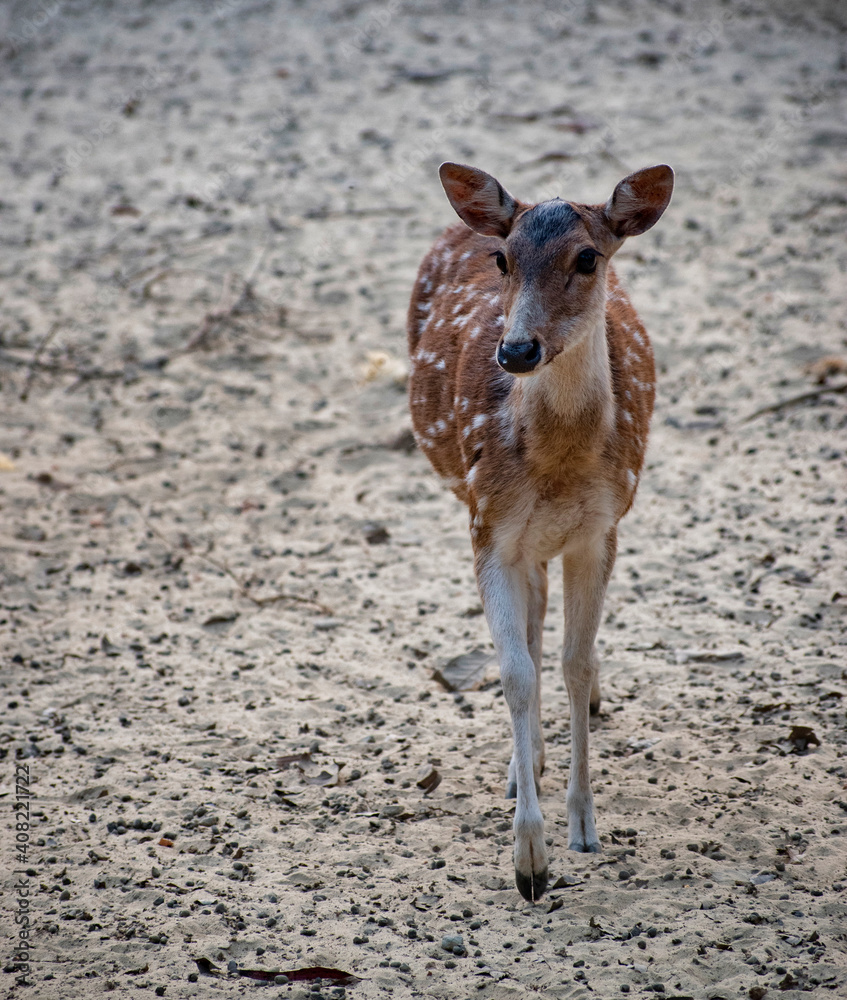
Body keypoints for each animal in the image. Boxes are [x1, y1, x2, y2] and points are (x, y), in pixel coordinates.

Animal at [406, 161, 674, 901]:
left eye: (587, 257)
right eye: (503, 259)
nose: (517, 349)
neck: (556, 464)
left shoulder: (601, 528)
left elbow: (573, 663)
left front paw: (583, 826)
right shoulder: (488, 526)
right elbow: (516, 671)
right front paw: (529, 860)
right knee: (528, 629)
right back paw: (524, 762)